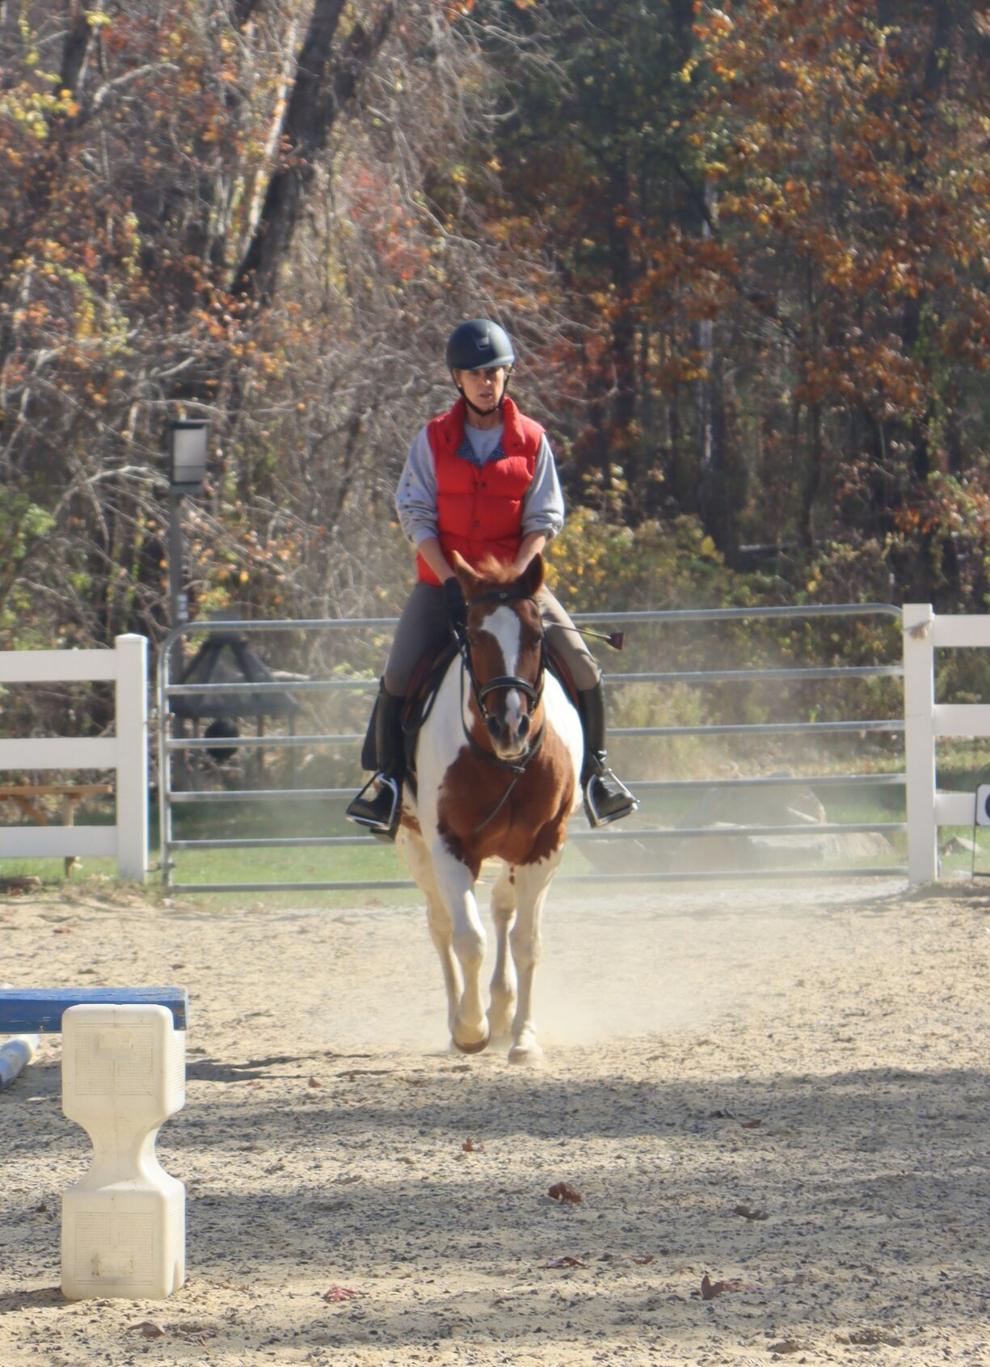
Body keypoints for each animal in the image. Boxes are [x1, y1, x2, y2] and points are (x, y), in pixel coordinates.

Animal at [397, 551, 583, 1064]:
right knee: (442, 925)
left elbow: (525, 941)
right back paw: (463, 1019)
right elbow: (469, 939)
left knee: (503, 909)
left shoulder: (545, 847)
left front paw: (523, 1037)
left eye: (537, 636)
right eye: (476, 637)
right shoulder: (448, 845)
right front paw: (470, 1028)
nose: (510, 725)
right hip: (415, 845)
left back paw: (502, 1011)